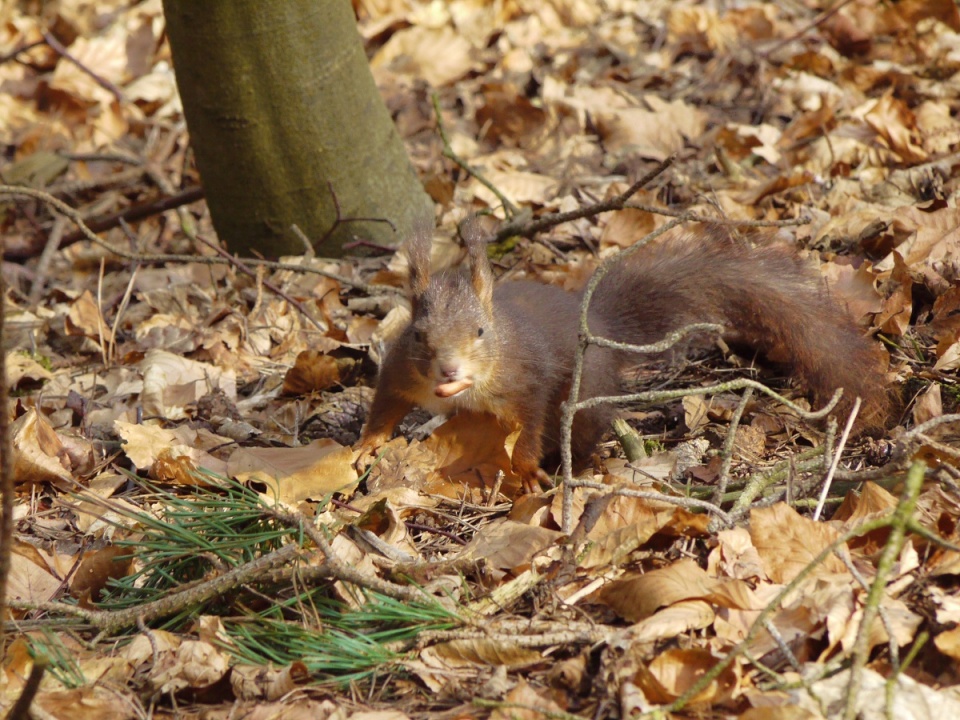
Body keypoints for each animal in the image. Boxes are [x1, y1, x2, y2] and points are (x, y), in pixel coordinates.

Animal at [358, 220, 890, 492]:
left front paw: (527, 471)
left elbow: (528, 425)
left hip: (586, 395)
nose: (450, 370)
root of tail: (598, 326)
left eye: (480, 332)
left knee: (580, 435)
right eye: (419, 335)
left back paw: (567, 469)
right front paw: (367, 444)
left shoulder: (525, 382)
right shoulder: (401, 370)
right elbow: (386, 403)